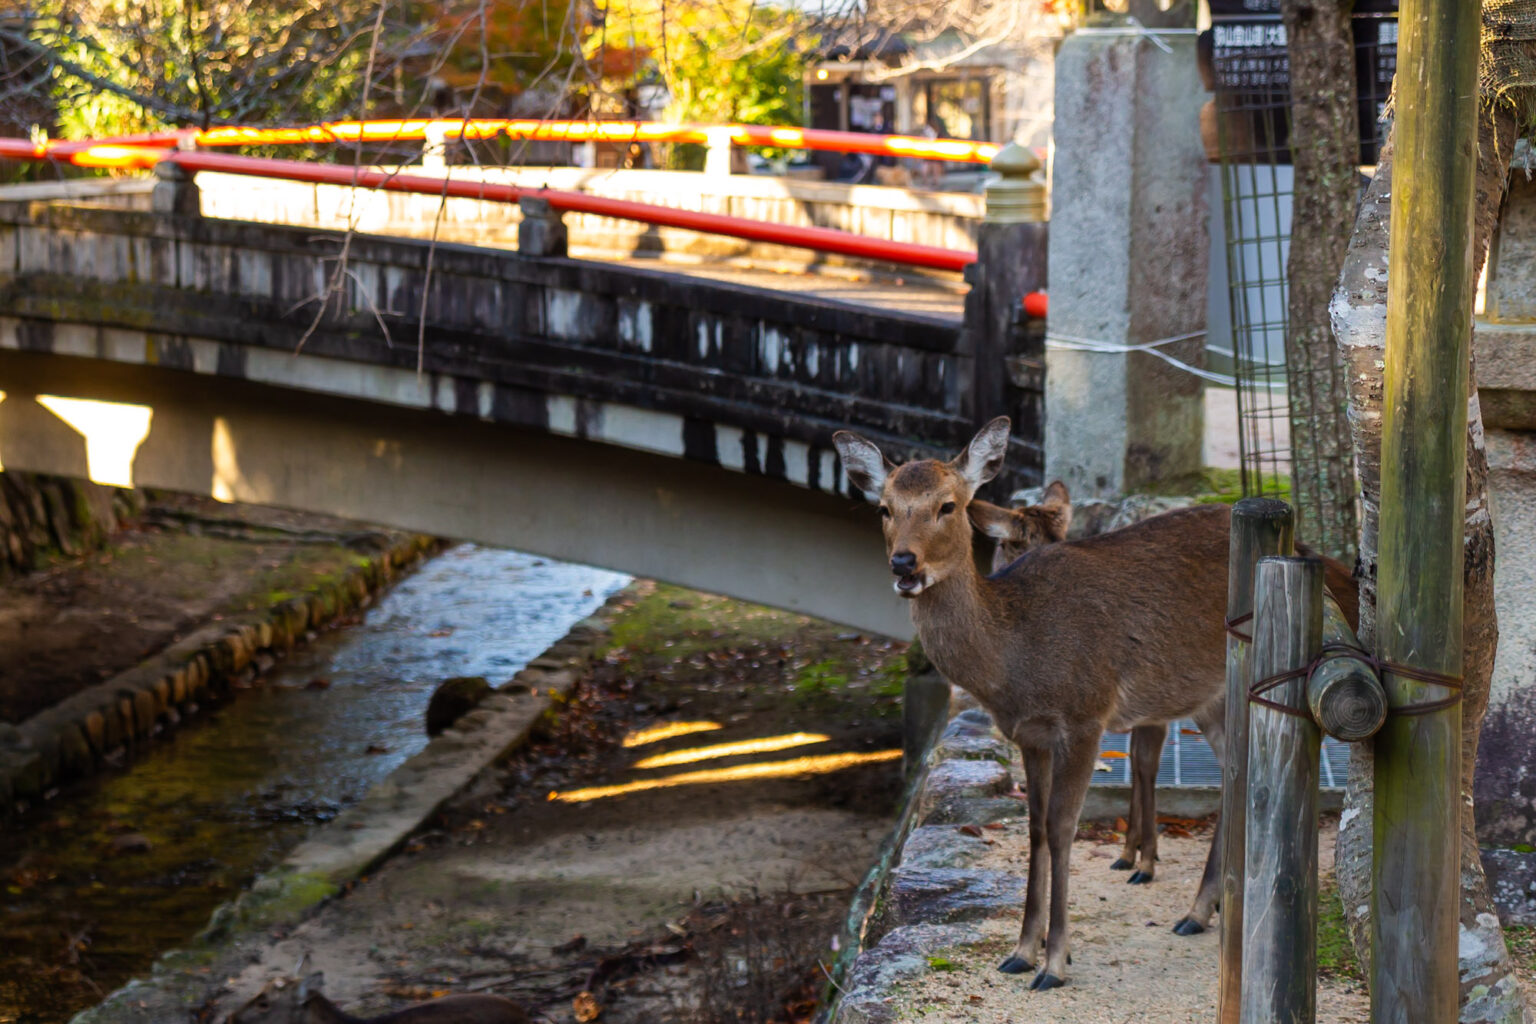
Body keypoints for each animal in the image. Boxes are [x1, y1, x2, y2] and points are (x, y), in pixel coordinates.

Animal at [967, 482, 1358, 900]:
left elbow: (1143, 763)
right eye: (1014, 546)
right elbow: (1140, 762)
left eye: (1053, 544)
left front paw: (1143, 860)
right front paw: (1132, 854)